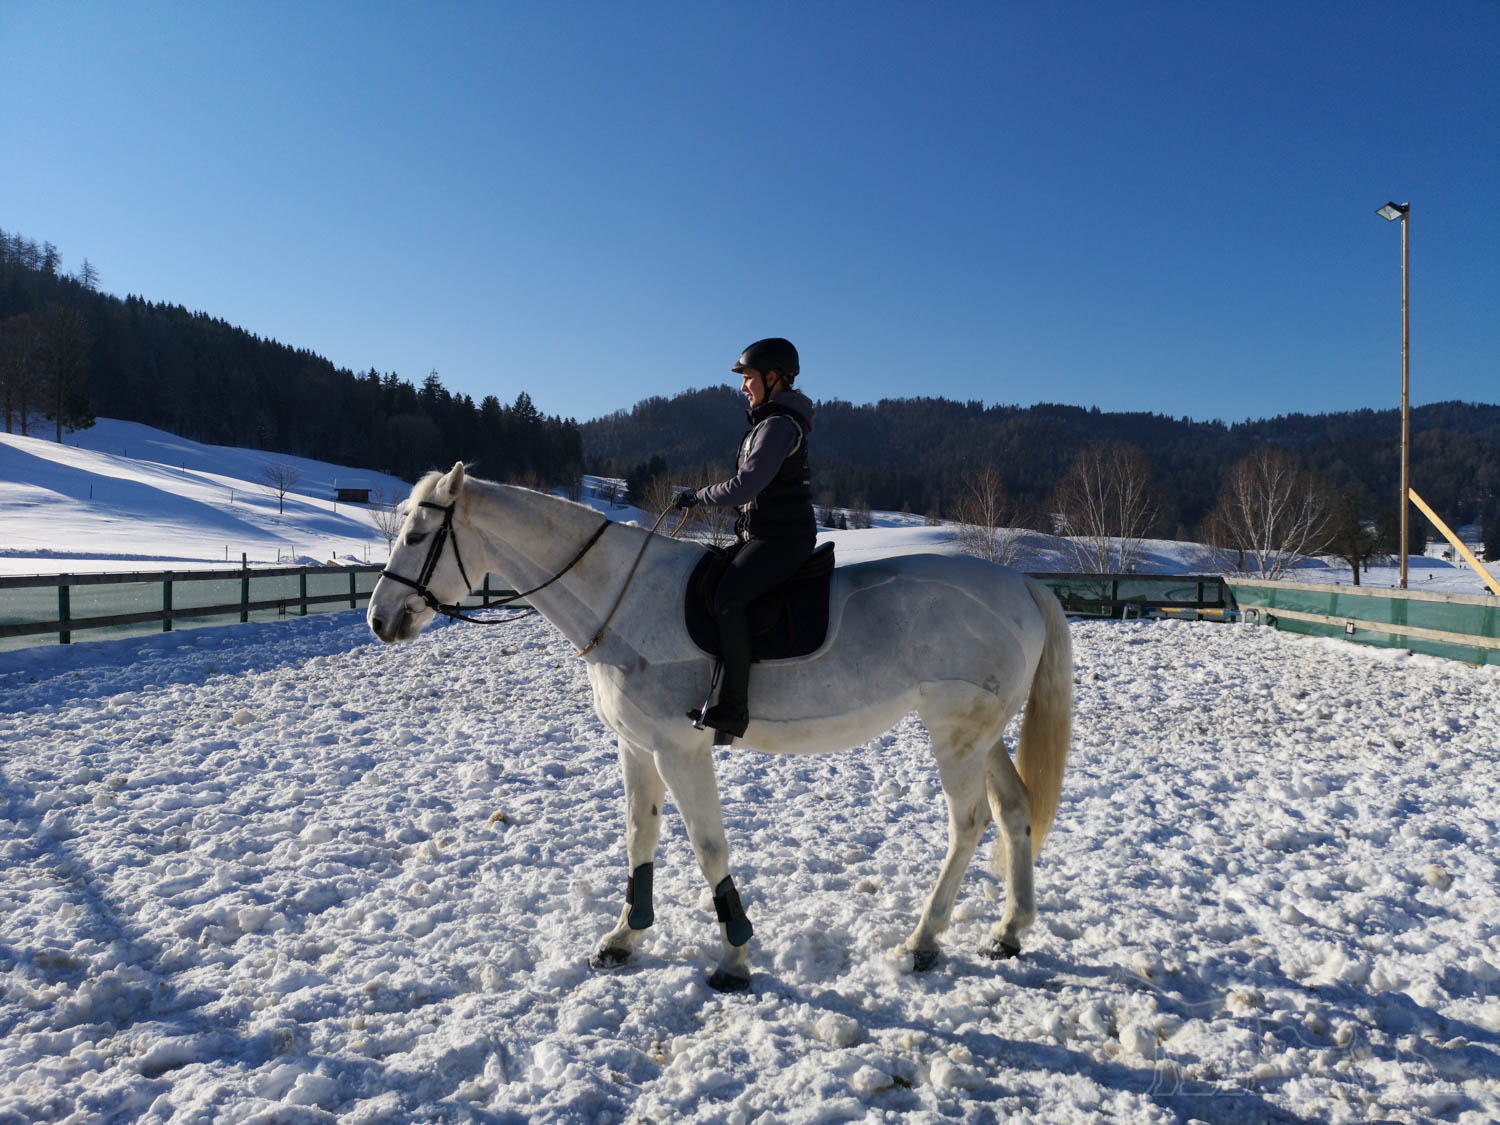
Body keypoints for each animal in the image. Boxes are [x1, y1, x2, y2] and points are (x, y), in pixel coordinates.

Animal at [366, 463, 1072, 992]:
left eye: (417, 537)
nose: (379, 619)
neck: (623, 598)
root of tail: (1022, 586)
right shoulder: (636, 746)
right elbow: (639, 837)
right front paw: (623, 939)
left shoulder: (681, 748)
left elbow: (709, 848)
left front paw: (734, 958)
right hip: (984, 735)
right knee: (1014, 811)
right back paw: (1008, 933)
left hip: (955, 735)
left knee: (968, 824)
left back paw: (923, 941)